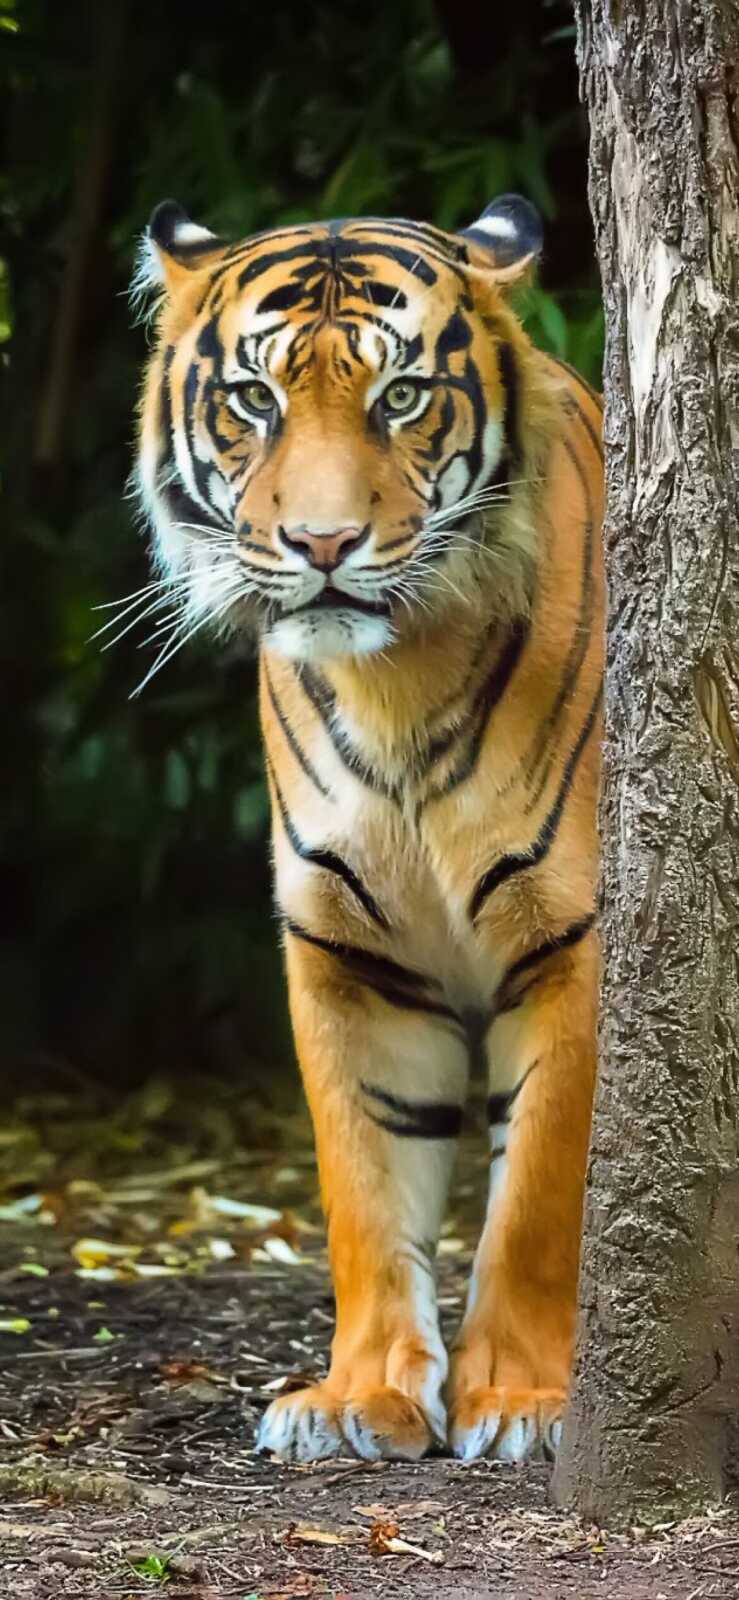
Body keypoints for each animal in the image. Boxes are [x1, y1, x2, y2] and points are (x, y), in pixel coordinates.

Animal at [131, 191, 604, 1465]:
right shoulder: (349, 955)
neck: (396, 684)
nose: (324, 546)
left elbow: (537, 1192)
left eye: (401, 397)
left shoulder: (575, 941)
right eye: (255, 400)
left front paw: (523, 1401)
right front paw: (361, 1395)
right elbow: (363, 1179)